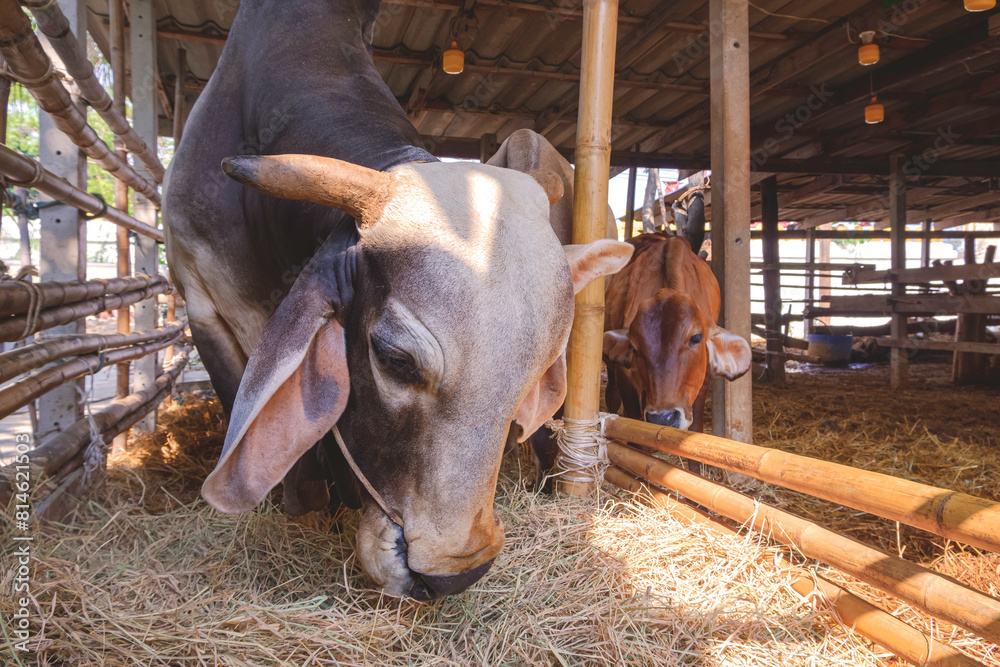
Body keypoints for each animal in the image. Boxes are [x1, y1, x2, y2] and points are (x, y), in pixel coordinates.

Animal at [602, 233, 751, 471]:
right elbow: (637, 437)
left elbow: (694, 434)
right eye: (634, 346)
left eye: (696, 338)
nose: (663, 418)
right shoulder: (627, 380)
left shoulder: (701, 381)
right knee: (613, 398)